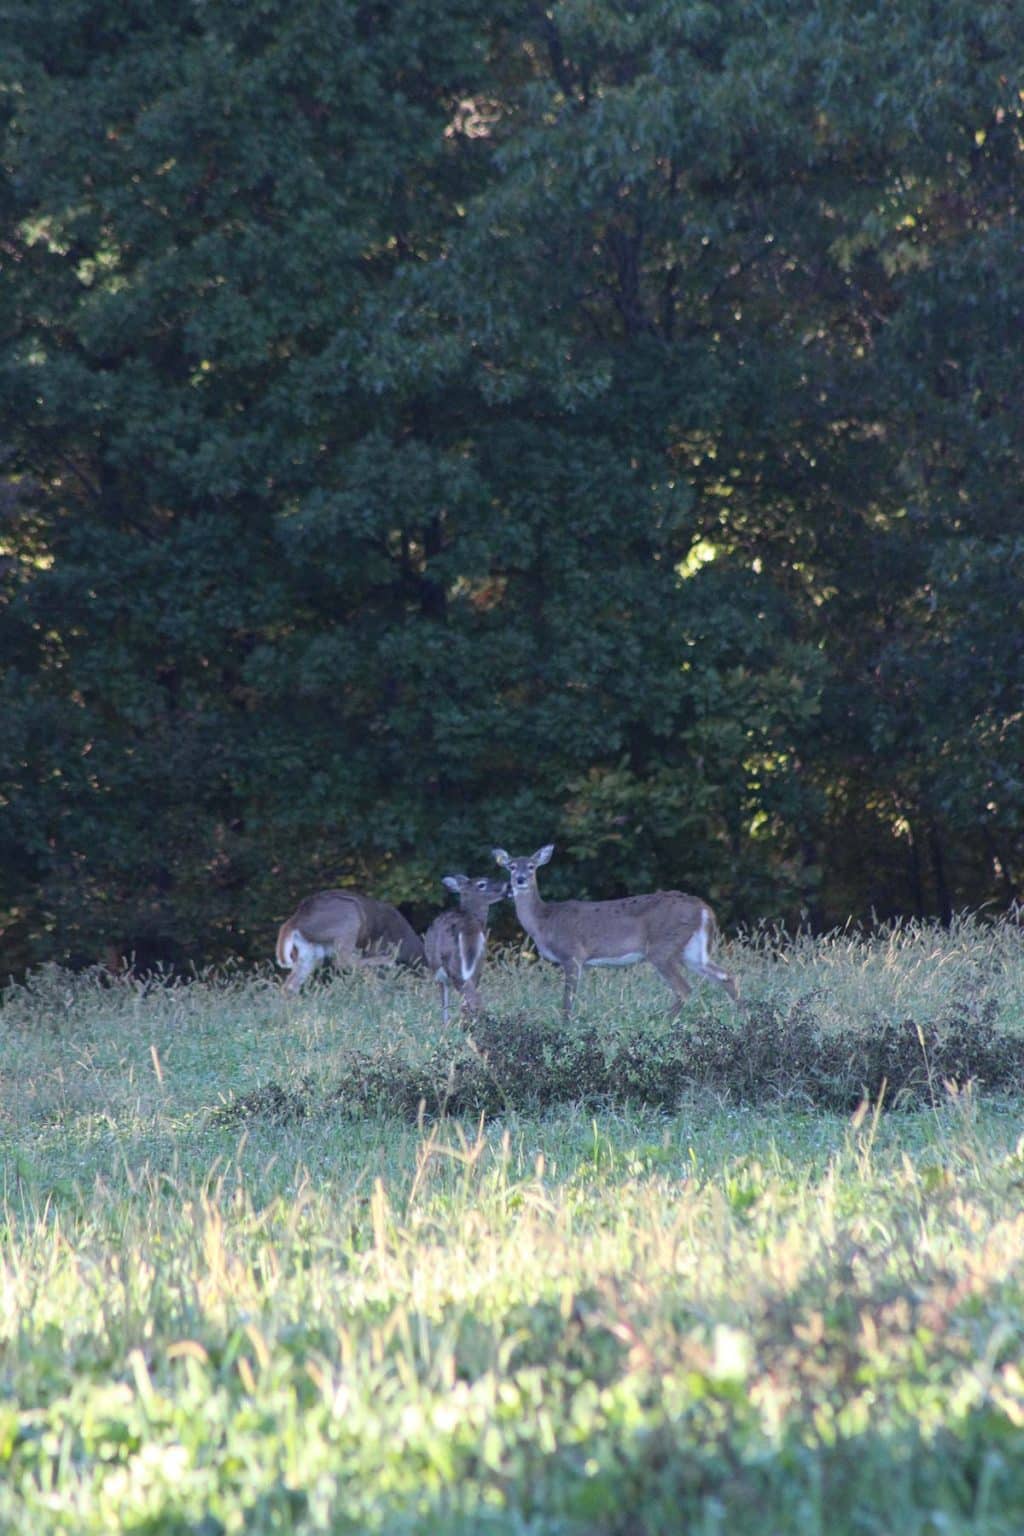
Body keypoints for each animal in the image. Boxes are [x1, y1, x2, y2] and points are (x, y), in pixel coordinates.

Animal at [275, 889, 426, 993]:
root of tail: (294, 921)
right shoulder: (378, 945)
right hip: (349, 919)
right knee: (343, 961)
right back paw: (387, 961)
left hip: (310, 951)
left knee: (291, 984)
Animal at [423, 874, 508, 1024]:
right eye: (482, 884)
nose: (507, 885)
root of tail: (468, 927)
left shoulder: (439, 975)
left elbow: (444, 1002)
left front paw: (445, 1024)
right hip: (480, 961)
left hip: (451, 964)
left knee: (468, 993)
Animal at [492, 845, 738, 1019]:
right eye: (511, 866)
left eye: (531, 866)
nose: (520, 880)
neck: (544, 921)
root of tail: (704, 908)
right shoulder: (584, 963)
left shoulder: (572, 954)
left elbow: (567, 1002)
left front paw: (566, 1027)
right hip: (692, 950)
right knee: (727, 976)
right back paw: (740, 1017)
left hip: (662, 947)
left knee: (685, 989)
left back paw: (660, 1021)